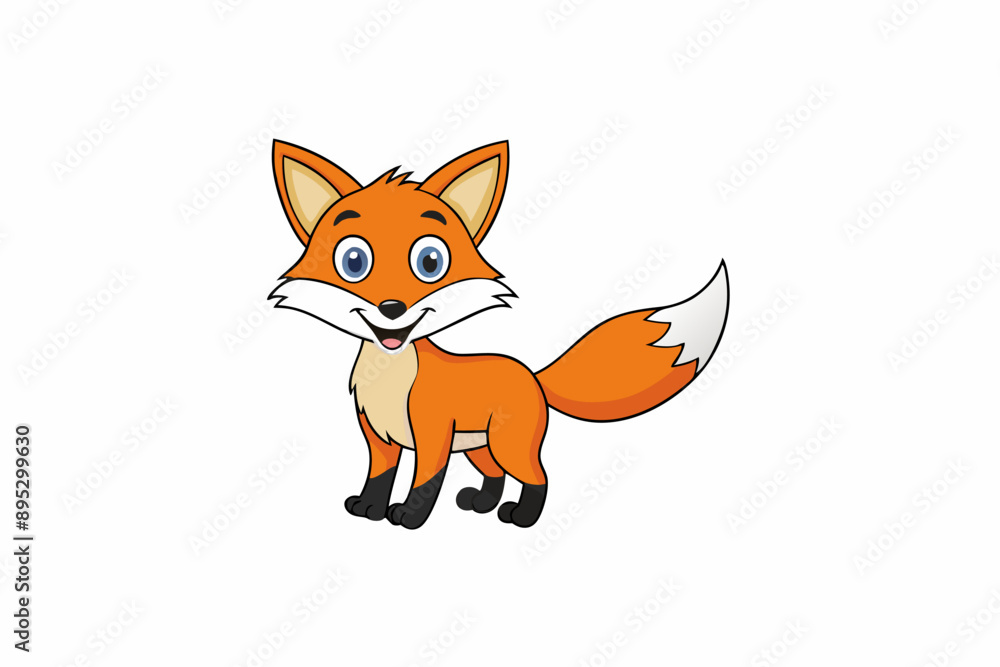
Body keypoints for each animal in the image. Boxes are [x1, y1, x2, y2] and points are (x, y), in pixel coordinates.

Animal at [268, 139, 730, 529]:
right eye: (353, 260)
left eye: (430, 261)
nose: (392, 308)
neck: (389, 379)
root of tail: (532, 375)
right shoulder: (378, 438)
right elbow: (378, 478)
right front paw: (368, 508)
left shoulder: (432, 436)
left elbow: (423, 484)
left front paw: (409, 518)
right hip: (479, 447)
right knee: (495, 475)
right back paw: (481, 502)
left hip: (508, 444)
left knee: (538, 475)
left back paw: (522, 516)